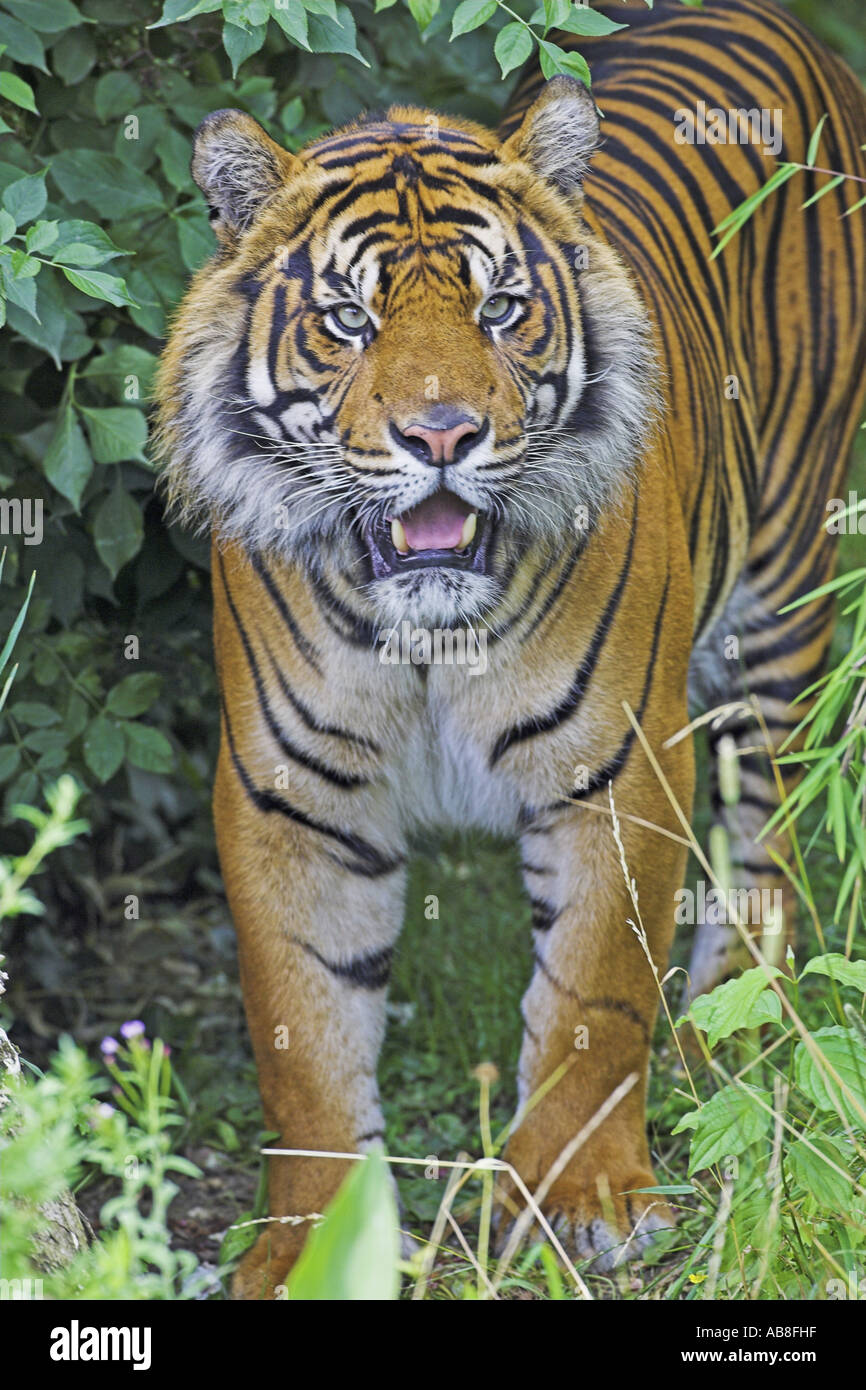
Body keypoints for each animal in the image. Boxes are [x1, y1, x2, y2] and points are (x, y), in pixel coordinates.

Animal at [155, 0, 866, 1298]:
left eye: (496, 309)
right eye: (349, 319)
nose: (442, 433)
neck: (427, 636)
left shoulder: (617, 766)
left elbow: (593, 995)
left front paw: (585, 1202)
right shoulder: (287, 790)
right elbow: (303, 1037)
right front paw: (311, 1245)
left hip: (783, 586)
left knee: (767, 838)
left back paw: (725, 1029)